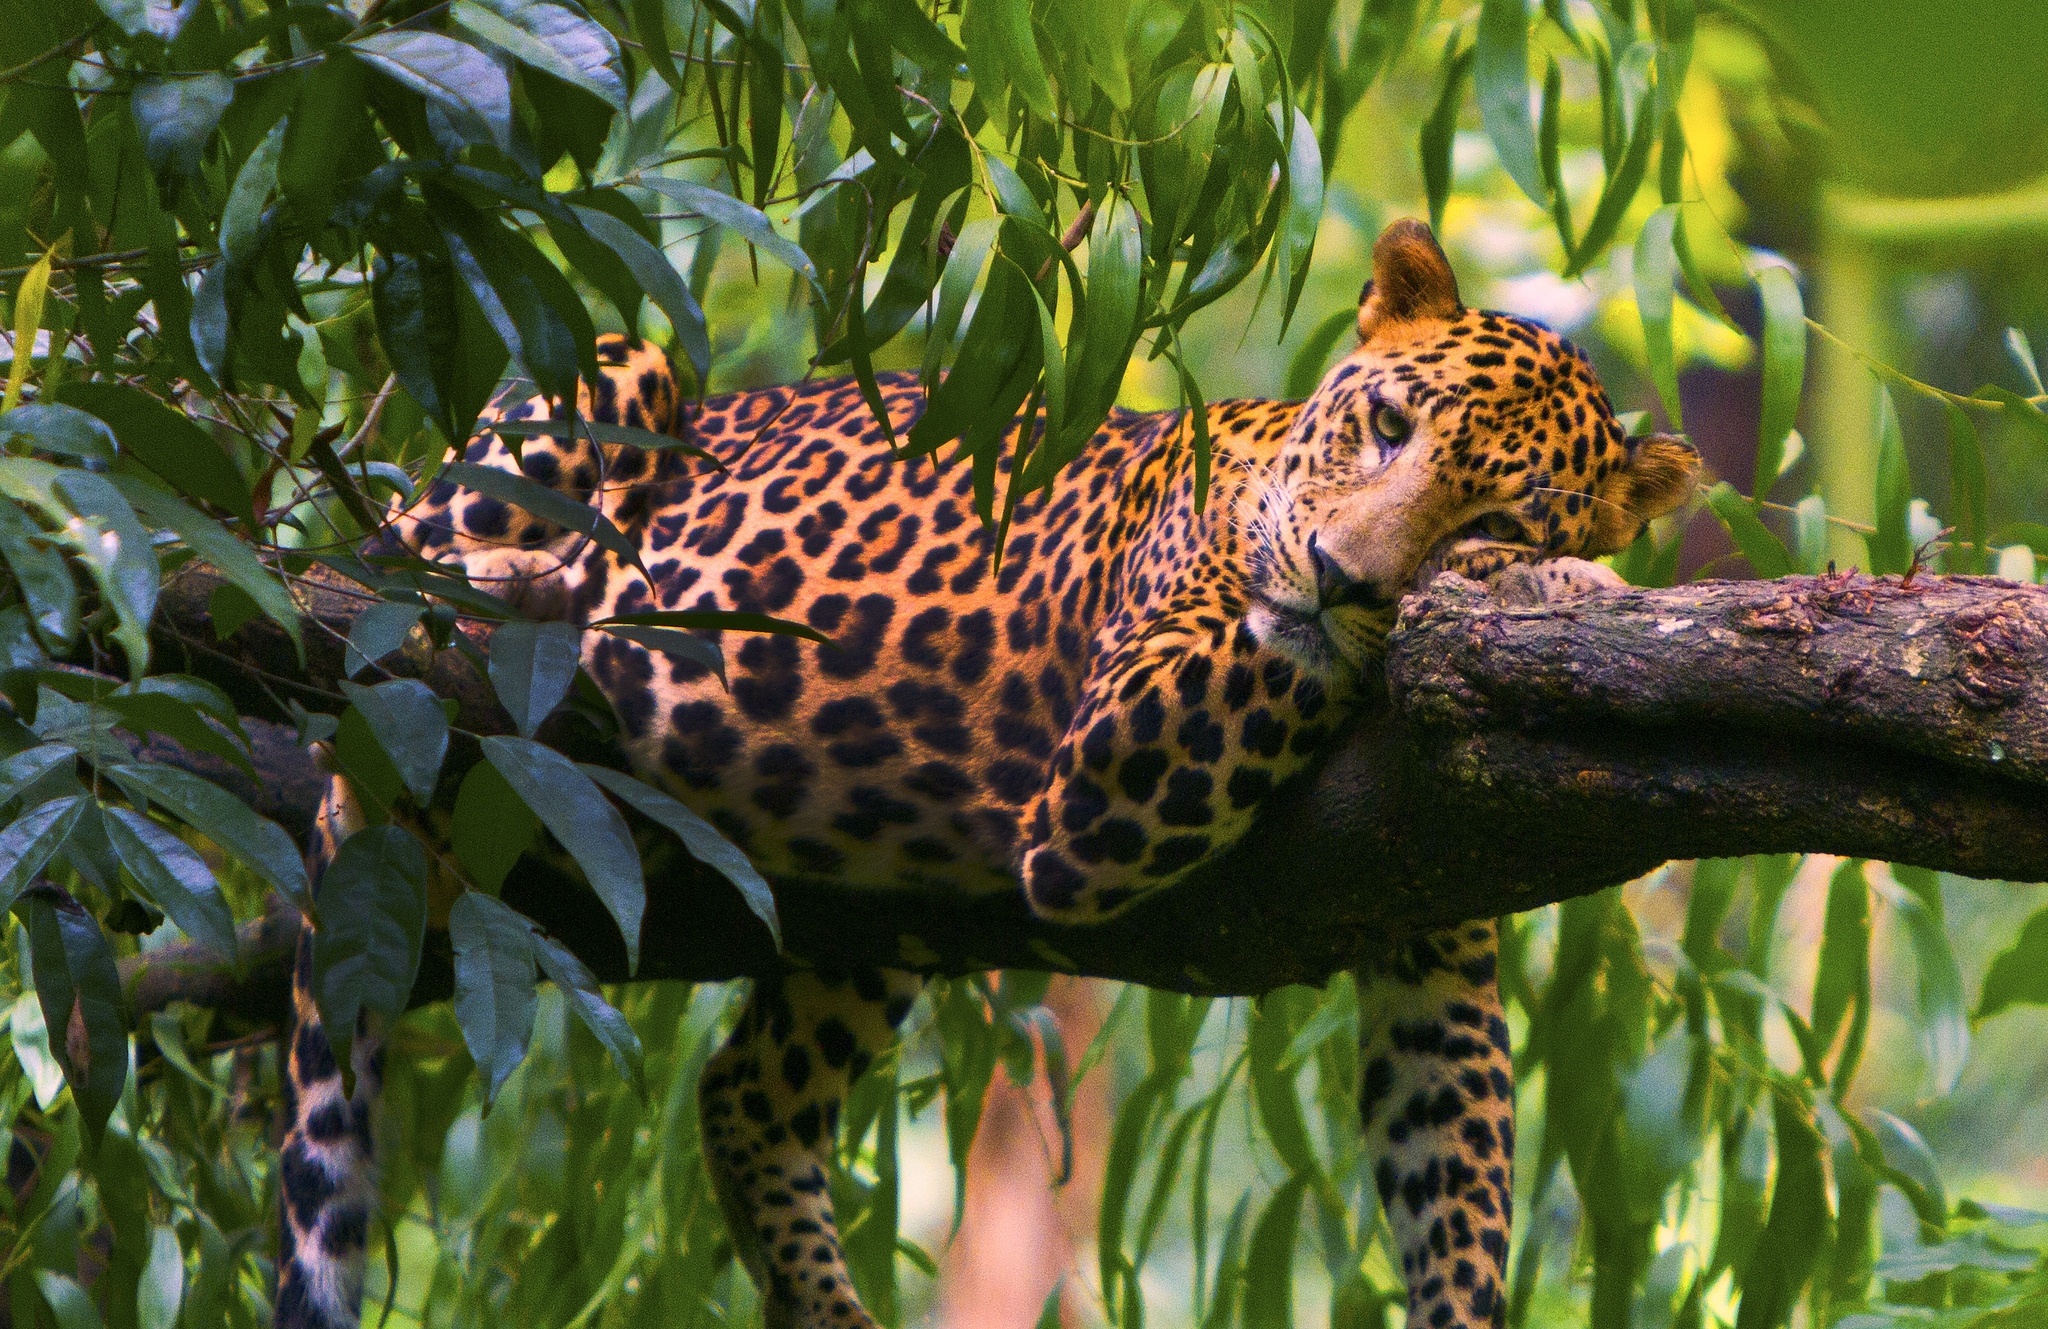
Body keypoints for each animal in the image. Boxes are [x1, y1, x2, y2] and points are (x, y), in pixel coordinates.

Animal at [274, 219, 1698, 1329]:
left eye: (1494, 505)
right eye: (1388, 424)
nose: (1339, 576)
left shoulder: (1429, 931)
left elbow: (1456, 1187)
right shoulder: (1119, 759)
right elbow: (1285, 654)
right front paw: (1561, 585)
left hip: (865, 907)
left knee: (742, 1095)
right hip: (605, 379)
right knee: (370, 569)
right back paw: (528, 586)